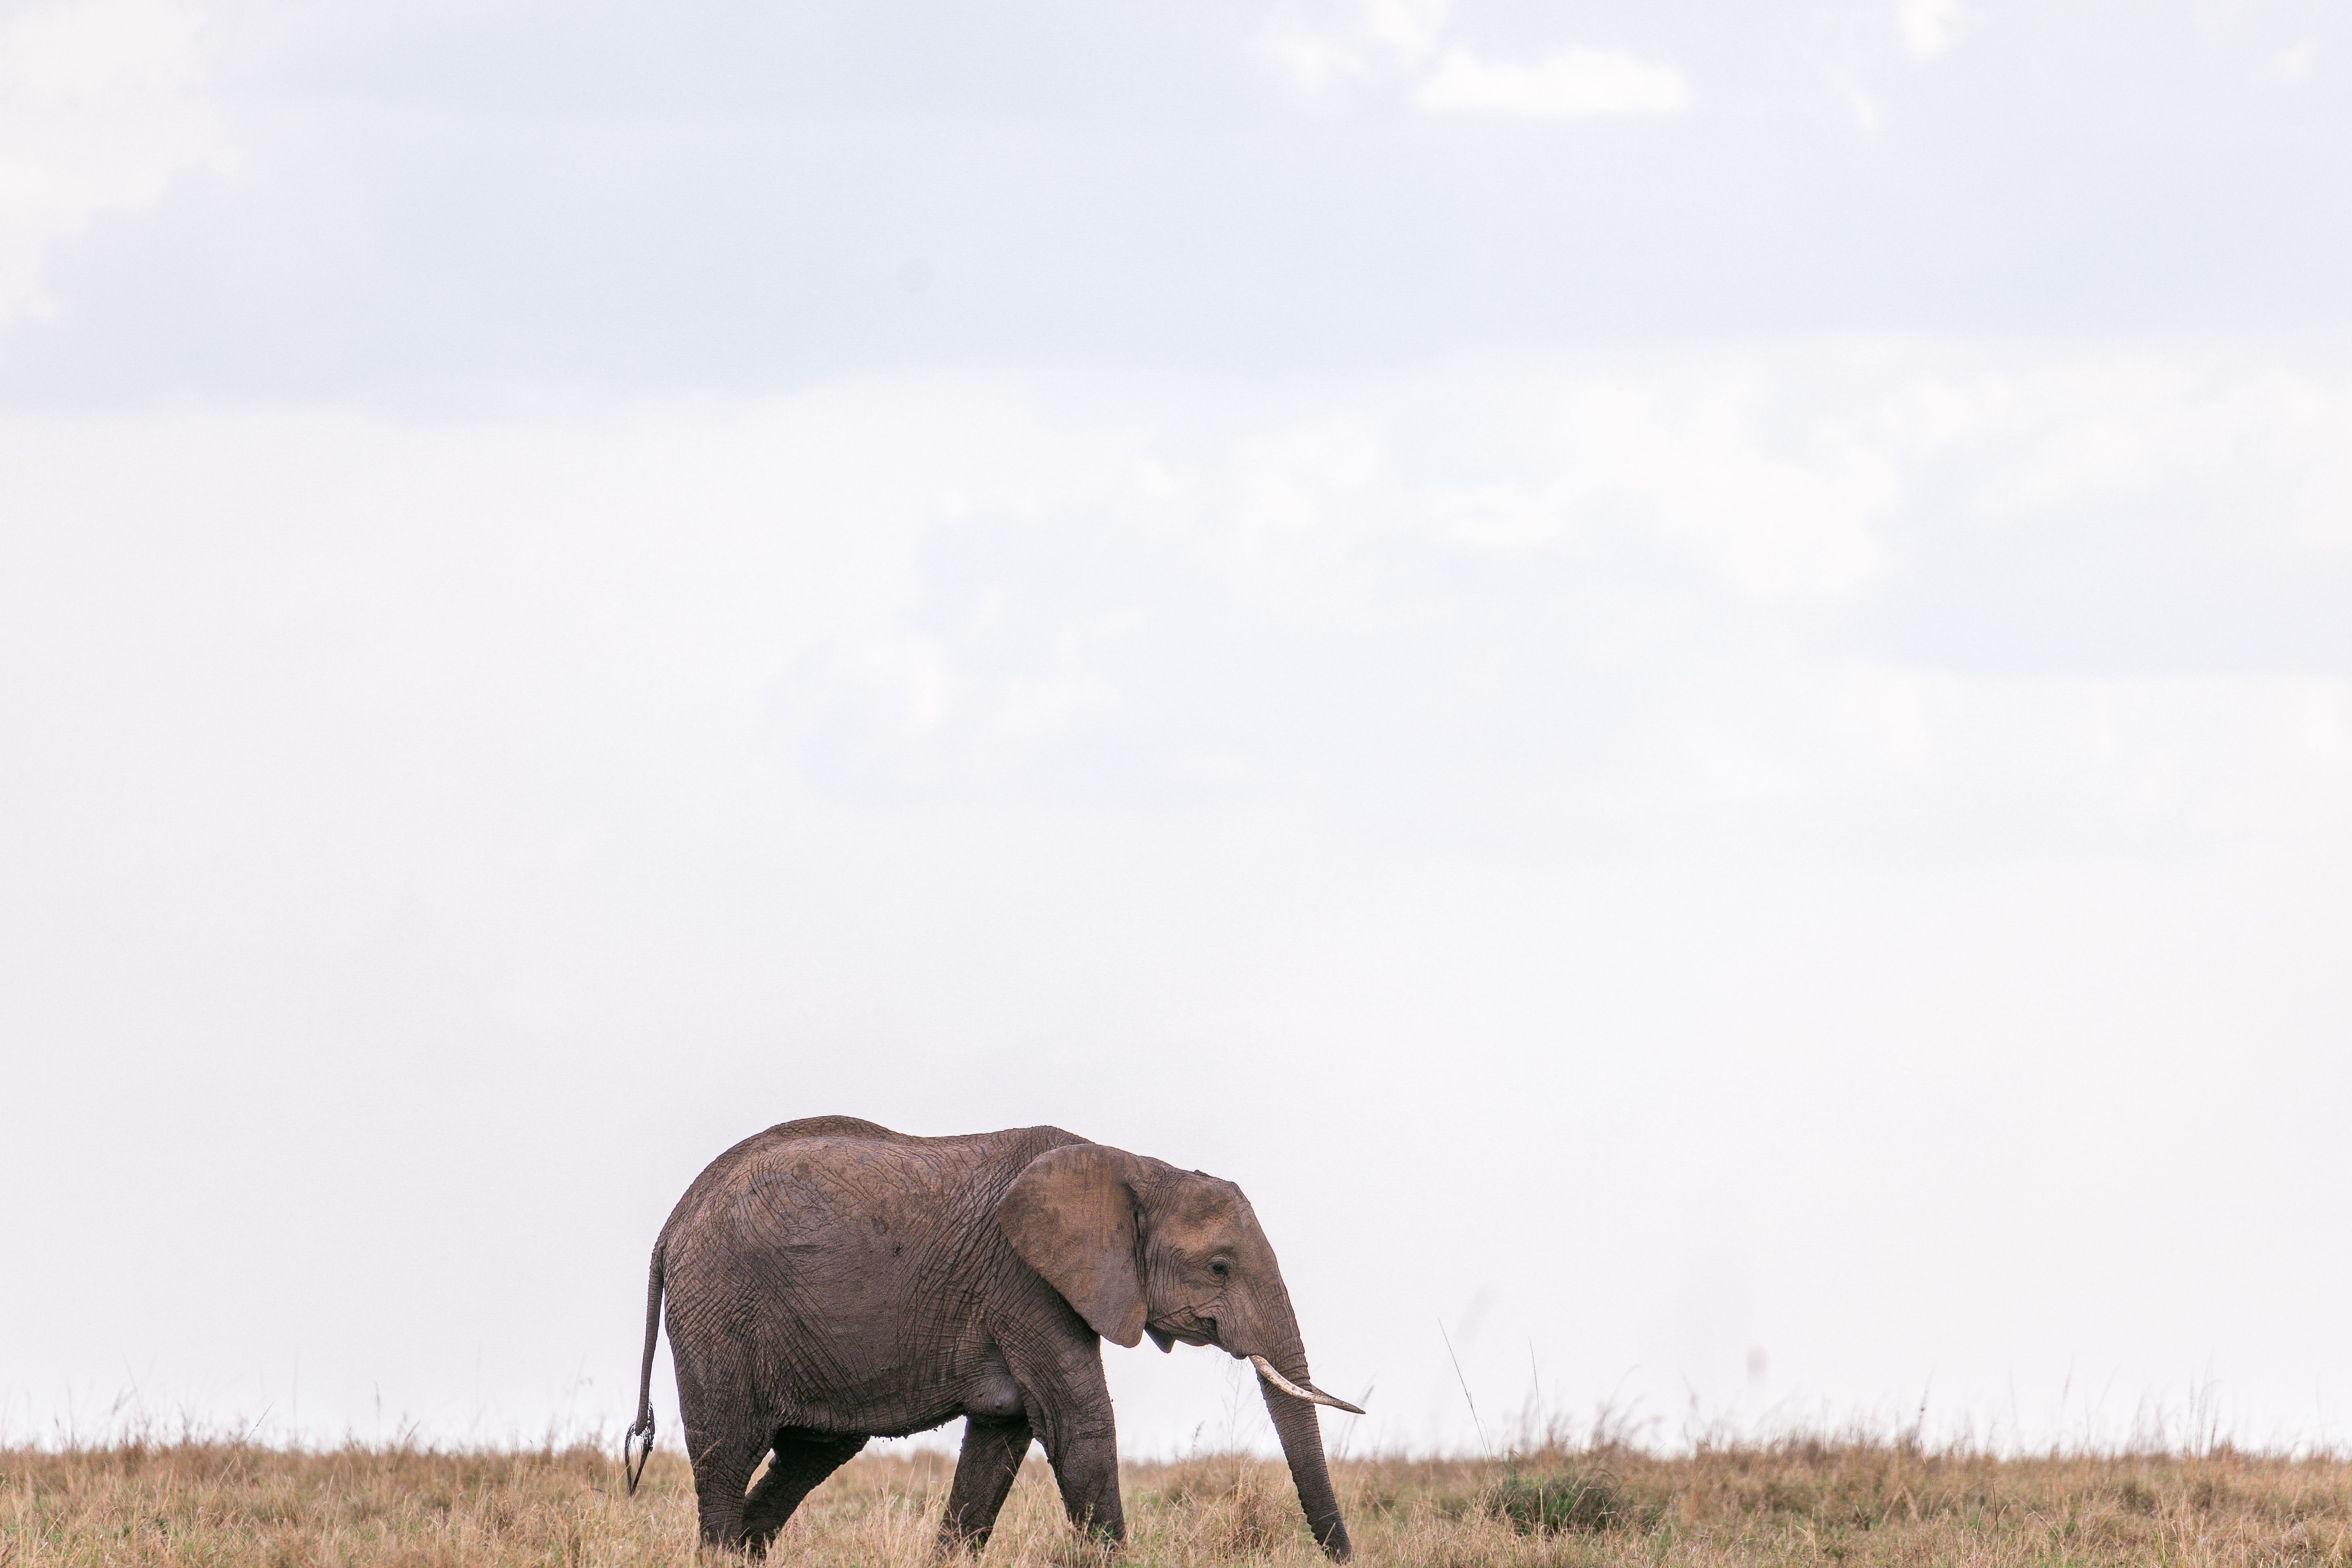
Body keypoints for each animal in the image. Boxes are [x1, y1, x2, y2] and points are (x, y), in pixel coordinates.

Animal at [622, 1115, 1363, 1558]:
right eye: (1218, 1267)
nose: (1345, 1556)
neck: (1131, 1166)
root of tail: (670, 1224)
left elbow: (1000, 1440)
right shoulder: (1026, 1281)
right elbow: (1080, 1426)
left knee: (808, 1454)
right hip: (720, 1312)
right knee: (726, 1455)